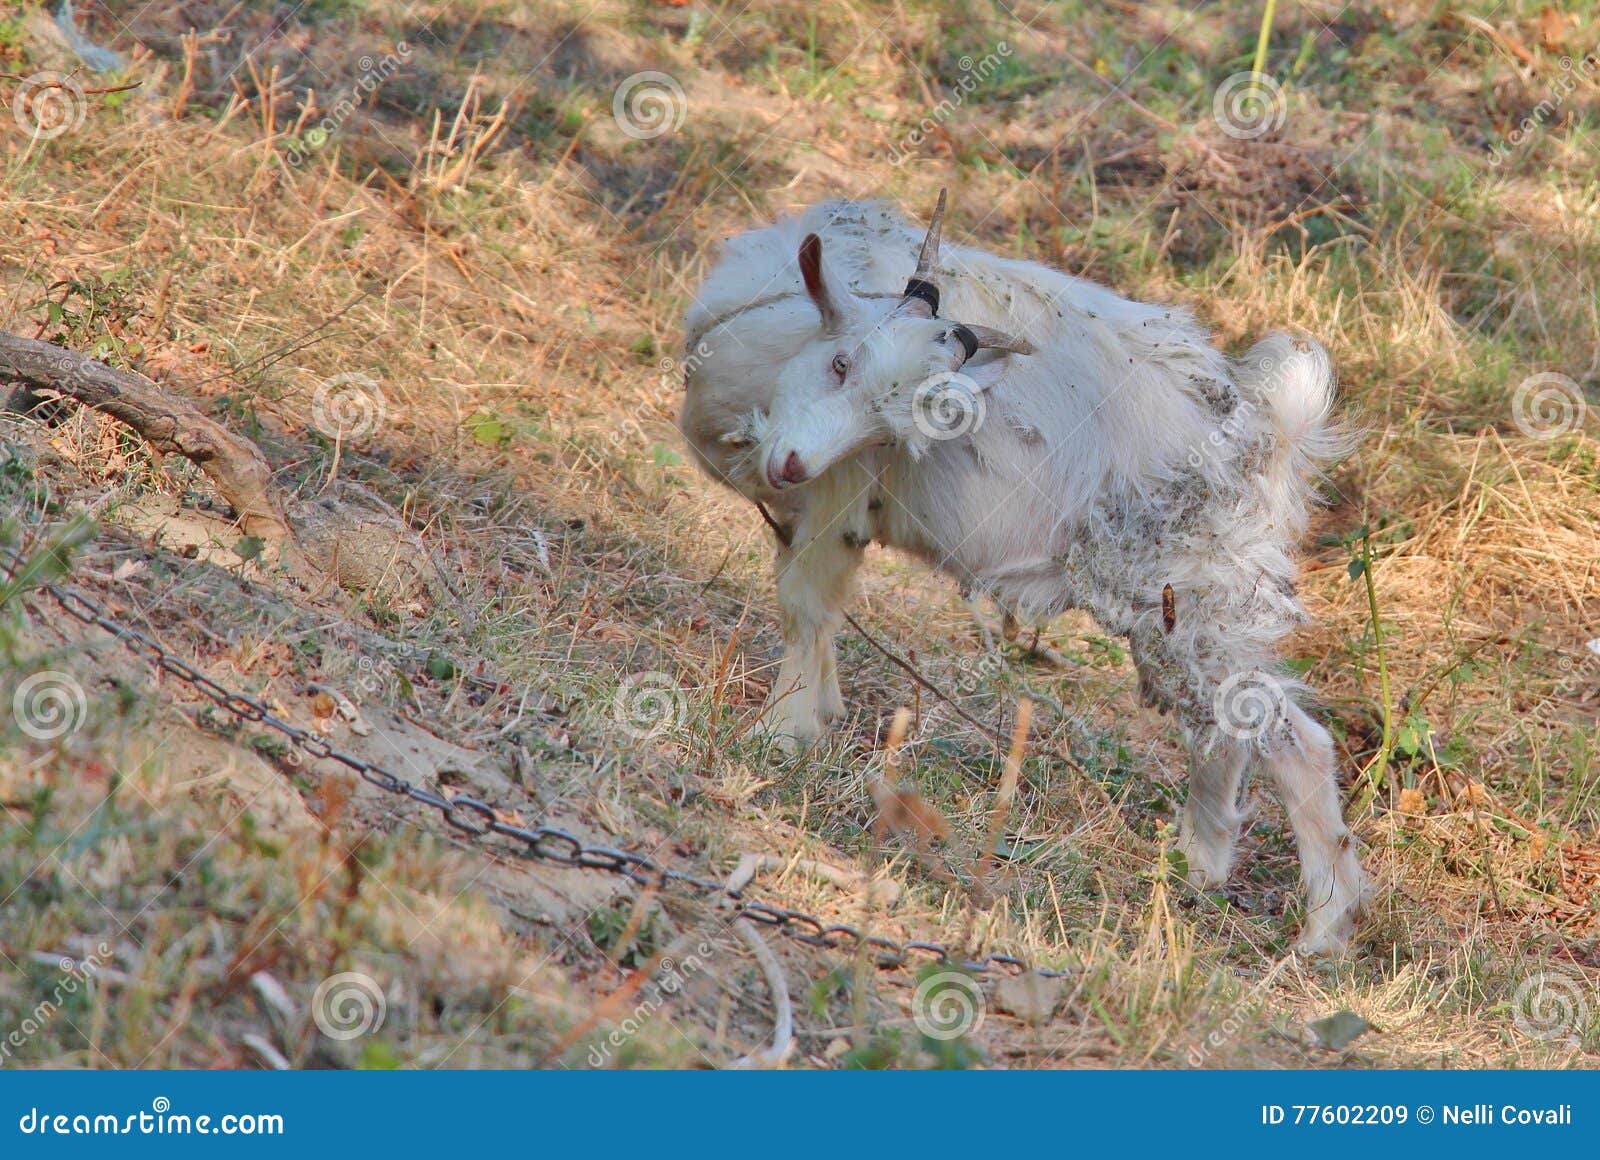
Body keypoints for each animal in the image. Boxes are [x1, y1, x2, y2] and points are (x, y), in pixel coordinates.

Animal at [679, 192, 1370, 955]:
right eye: (840, 363)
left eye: (890, 431)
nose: (791, 462)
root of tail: (1273, 432)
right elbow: (818, 608)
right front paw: (821, 710)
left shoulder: (841, 493)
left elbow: (805, 603)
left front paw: (778, 734)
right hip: (1186, 609)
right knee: (1222, 726)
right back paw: (1200, 866)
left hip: (1204, 588)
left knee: (1291, 738)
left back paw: (1324, 927)